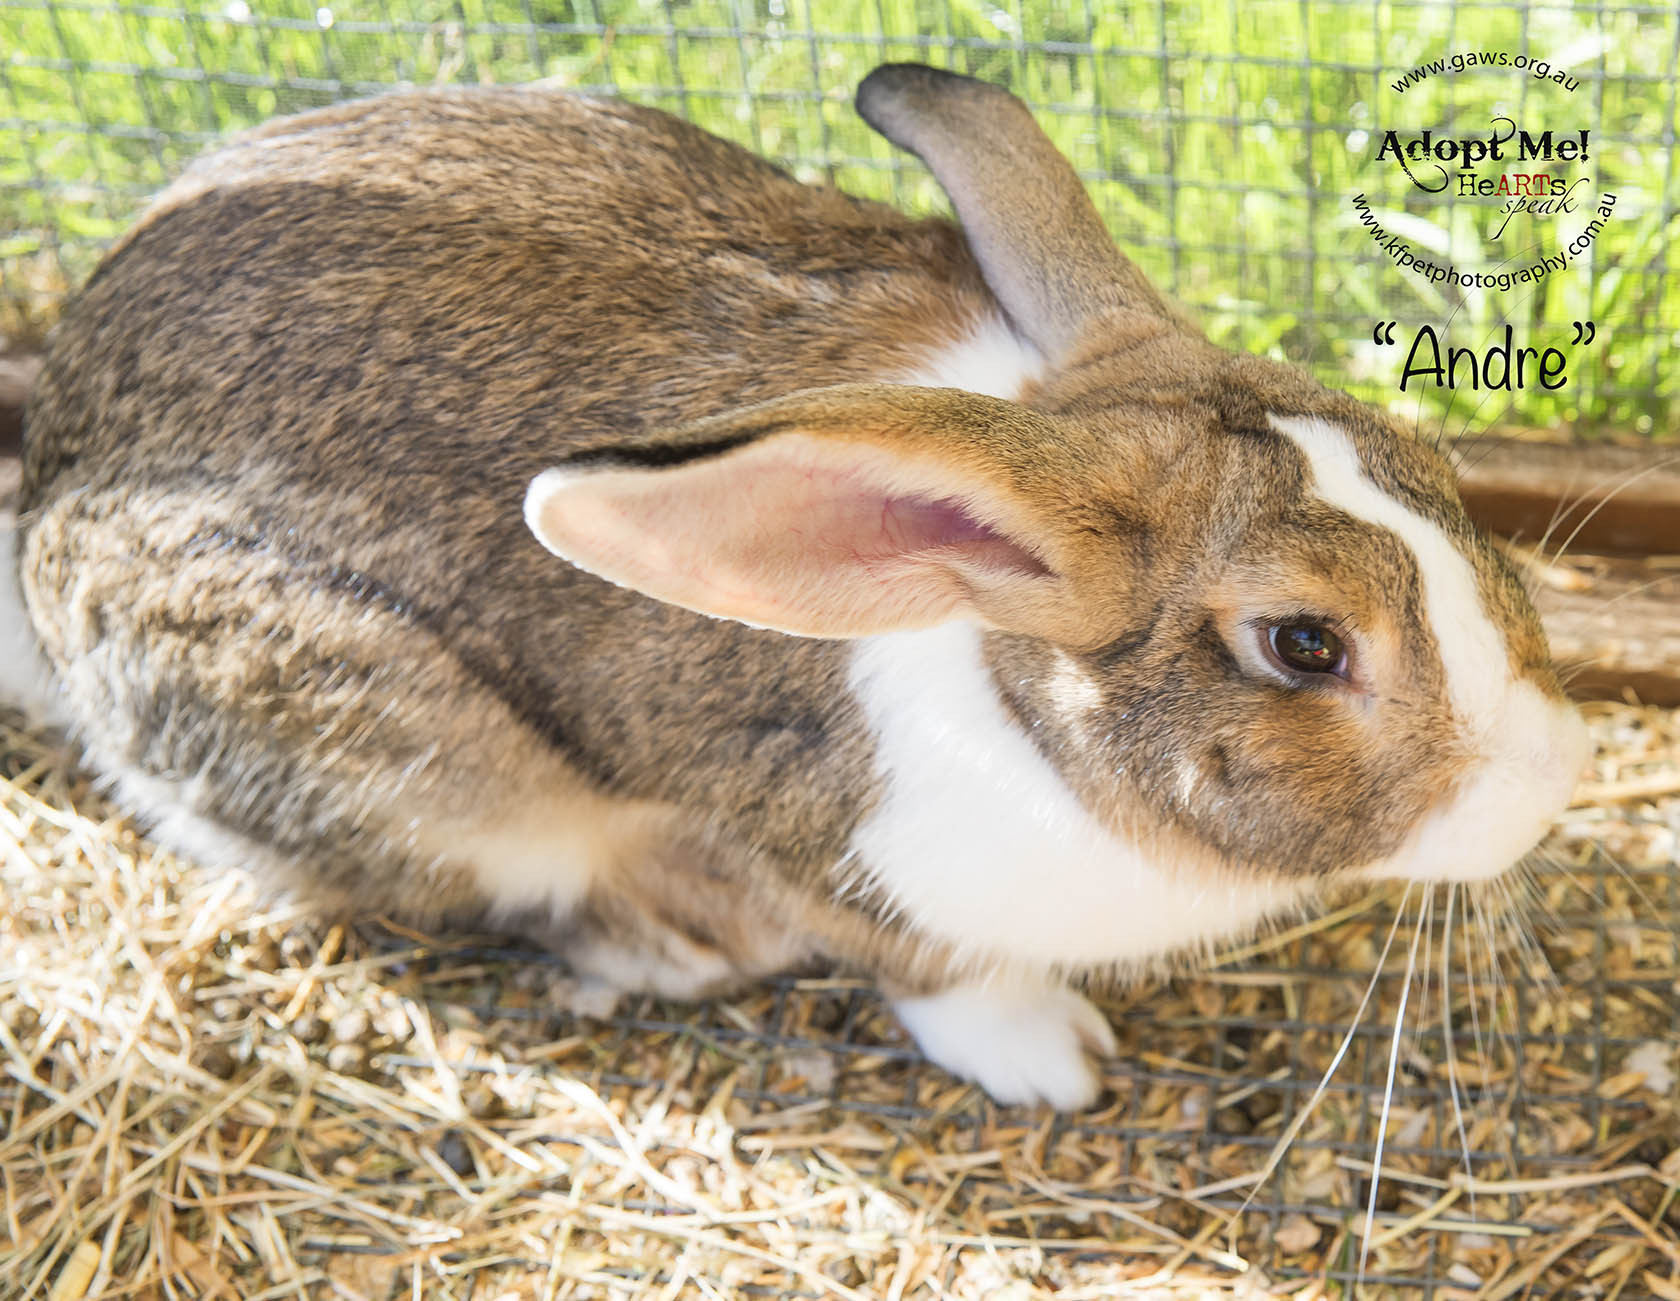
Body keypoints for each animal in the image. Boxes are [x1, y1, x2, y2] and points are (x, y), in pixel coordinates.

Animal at [7, 64, 1589, 1109]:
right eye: (1304, 643)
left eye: (1436, 469)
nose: (1554, 772)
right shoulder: (833, 856)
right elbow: (935, 972)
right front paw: (1050, 1059)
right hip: (390, 747)